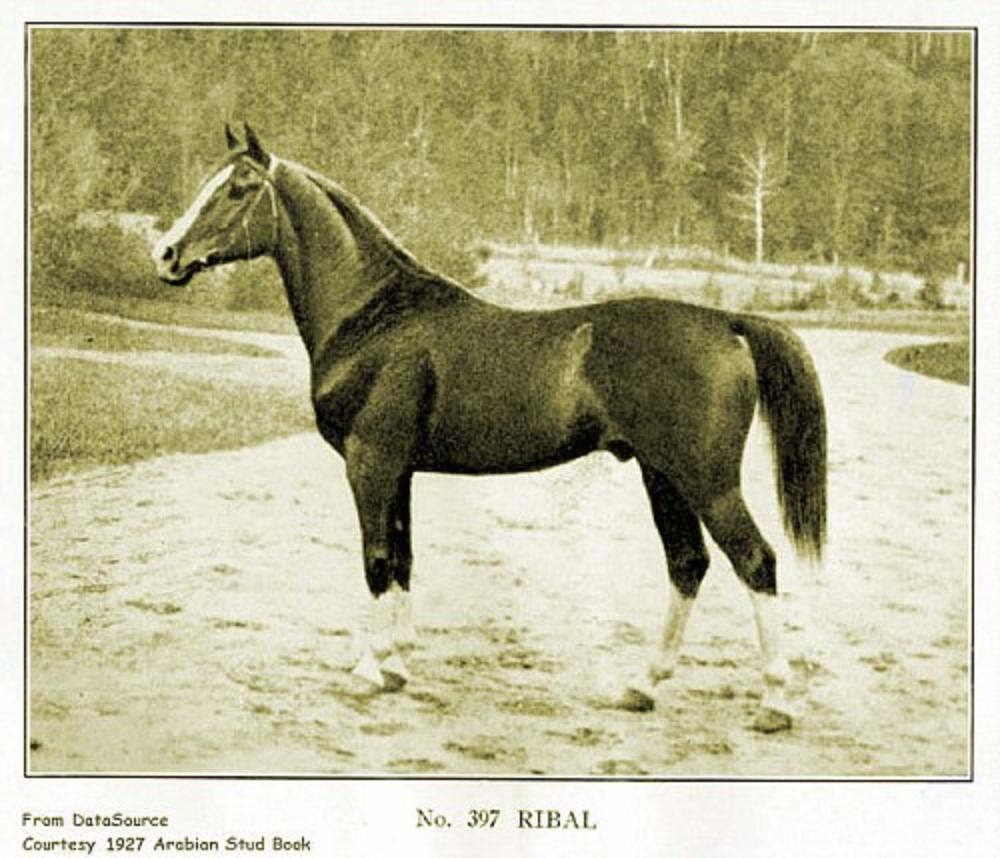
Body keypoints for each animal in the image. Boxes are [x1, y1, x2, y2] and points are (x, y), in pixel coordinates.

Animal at [153, 124, 826, 733]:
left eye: (239, 189)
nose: (166, 254)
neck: (375, 318)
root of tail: (727, 322)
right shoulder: (400, 470)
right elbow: (402, 557)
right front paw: (398, 664)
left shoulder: (370, 463)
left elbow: (376, 559)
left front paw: (370, 667)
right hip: (662, 476)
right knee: (687, 564)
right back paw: (643, 684)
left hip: (707, 482)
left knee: (755, 561)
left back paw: (775, 701)